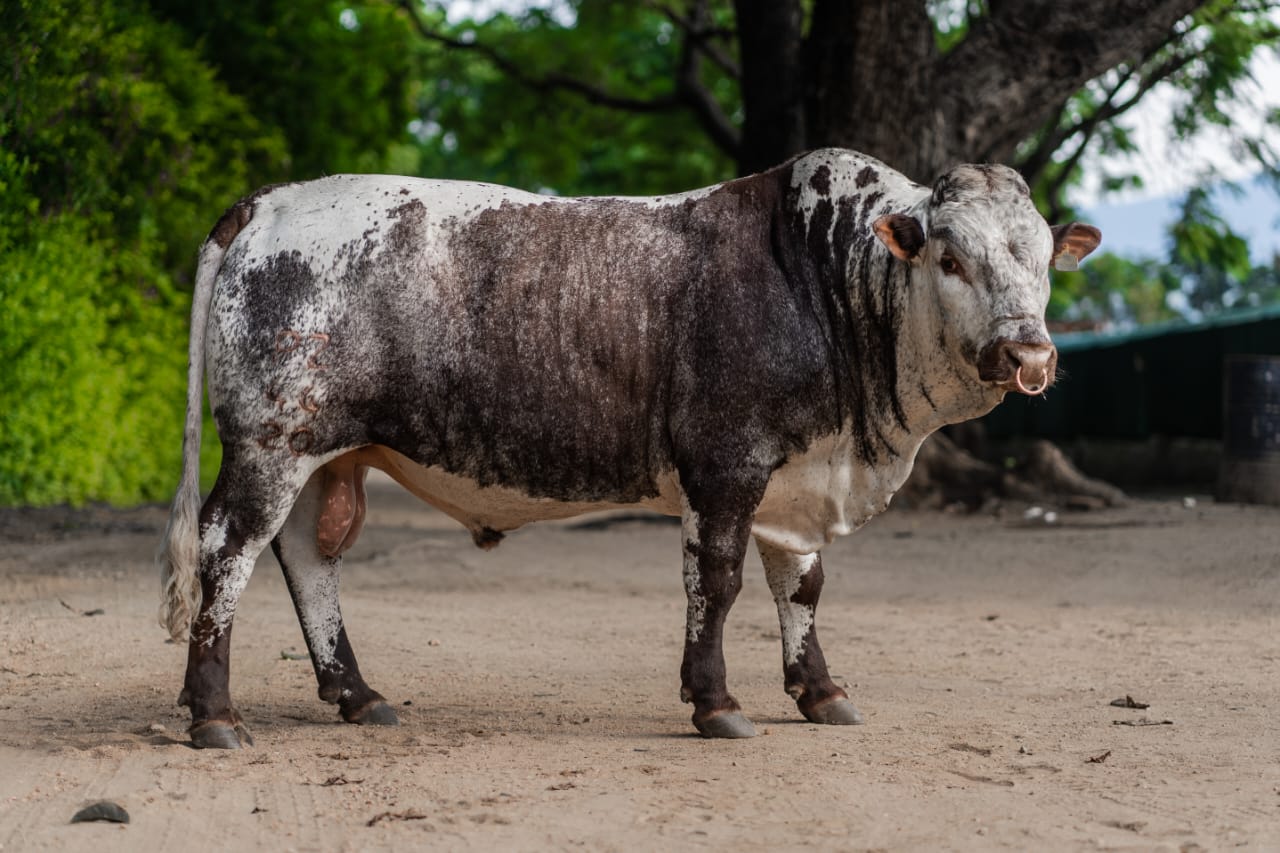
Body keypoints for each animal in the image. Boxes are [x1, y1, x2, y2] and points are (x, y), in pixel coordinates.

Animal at [159, 148, 1100, 748]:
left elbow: (801, 586)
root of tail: (270, 201)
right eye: (950, 258)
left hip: (326, 455)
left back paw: (358, 695)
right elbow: (716, 583)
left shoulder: (798, 481)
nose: (1028, 354)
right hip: (272, 442)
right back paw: (214, 714)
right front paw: (715, 701)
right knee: (226, 551)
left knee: (307, 558)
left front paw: (822, 691)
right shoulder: (725, 465)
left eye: (1043, 259)